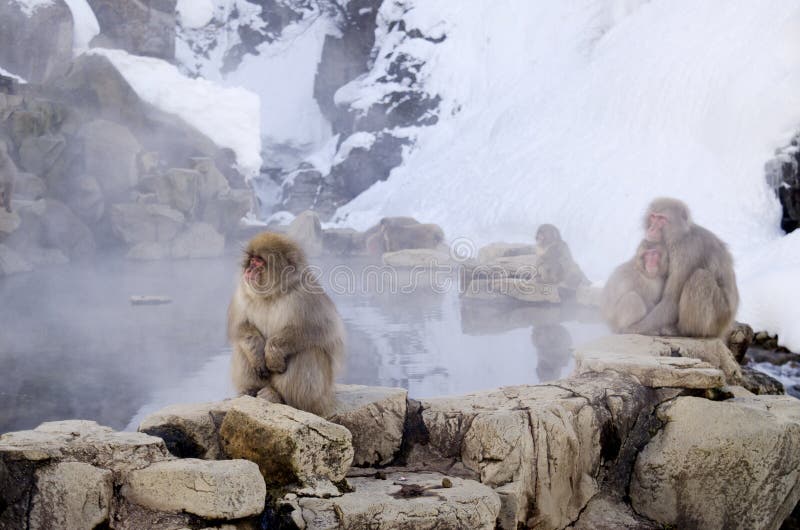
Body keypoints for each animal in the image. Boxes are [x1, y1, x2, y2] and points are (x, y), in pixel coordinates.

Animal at [228, 232, 345, 417]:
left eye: (258, 262)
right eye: (251, 260)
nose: (248, 270)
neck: (272, 294)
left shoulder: (306, 295)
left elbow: (322, 328)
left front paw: (273, 353)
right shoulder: (242, 291)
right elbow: (240, 326)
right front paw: (258, 353)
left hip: (320, 398)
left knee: (309, 351)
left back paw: (282, 398)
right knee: (241, 347)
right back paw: (250, 391)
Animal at [624, 197, 739, 338]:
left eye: (661, 219)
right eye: (653, 217)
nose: (651, 229)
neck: (679, 236)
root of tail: (726, 326)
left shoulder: (687, 251)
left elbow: (671, 300)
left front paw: (634, 328)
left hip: (720, 316)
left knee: (700, 278)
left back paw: (686, 332)